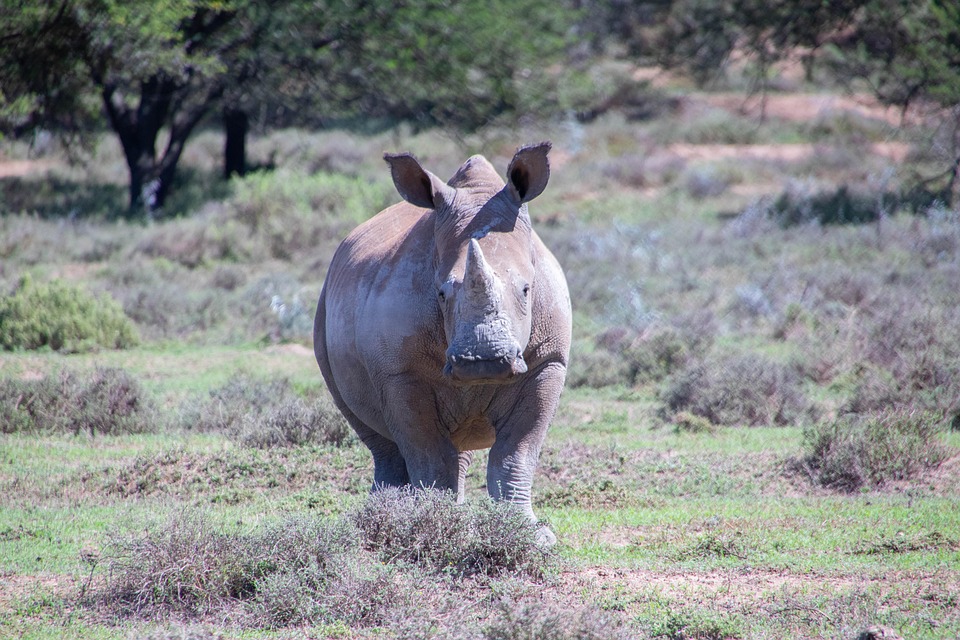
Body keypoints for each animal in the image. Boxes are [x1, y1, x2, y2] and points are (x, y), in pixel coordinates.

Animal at [313, 142, 571, 543]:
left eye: (527, 289)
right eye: (441, 293)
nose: (484, 361)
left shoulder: (548, 361)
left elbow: (516, 452)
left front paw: (528, 536)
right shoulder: (400, 372)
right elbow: (428, 455)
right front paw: (436, 528)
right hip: (326, 306)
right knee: (379, 439)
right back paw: (377, 519)